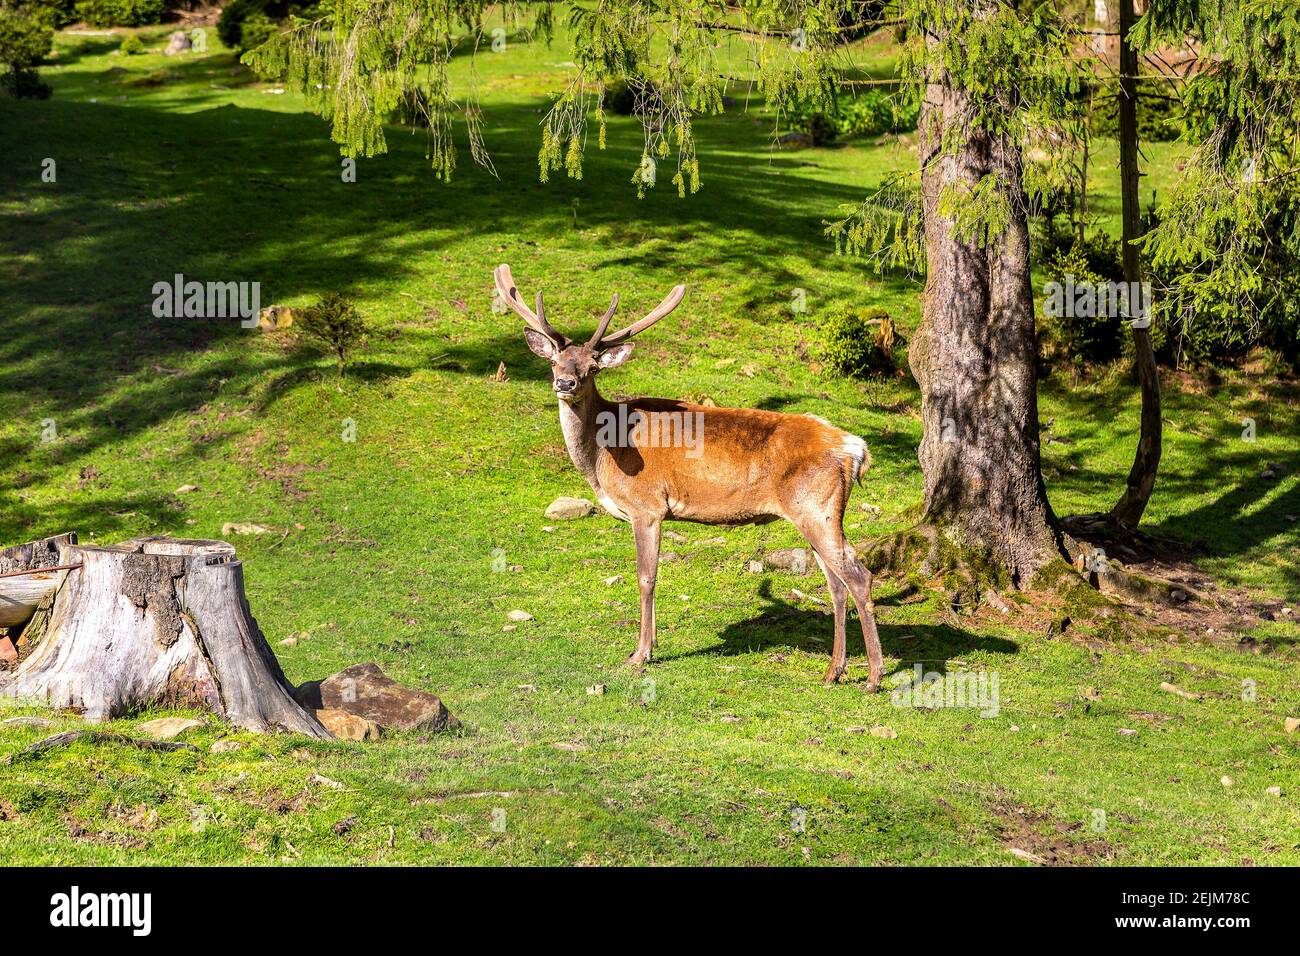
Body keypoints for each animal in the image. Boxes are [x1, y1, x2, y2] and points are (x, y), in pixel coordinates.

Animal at [495, 264, 884, 691]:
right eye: (555, 361)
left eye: (592, 366)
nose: (565, 383)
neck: (602, 455)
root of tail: (857, 449)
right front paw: (647, 648)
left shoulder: (647, 506)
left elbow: (646, 576)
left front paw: (640, 655)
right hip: (817, 514)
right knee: (836, 584)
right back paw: (833, 671)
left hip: (816, 508)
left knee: (859, 577)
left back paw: (874, 677)